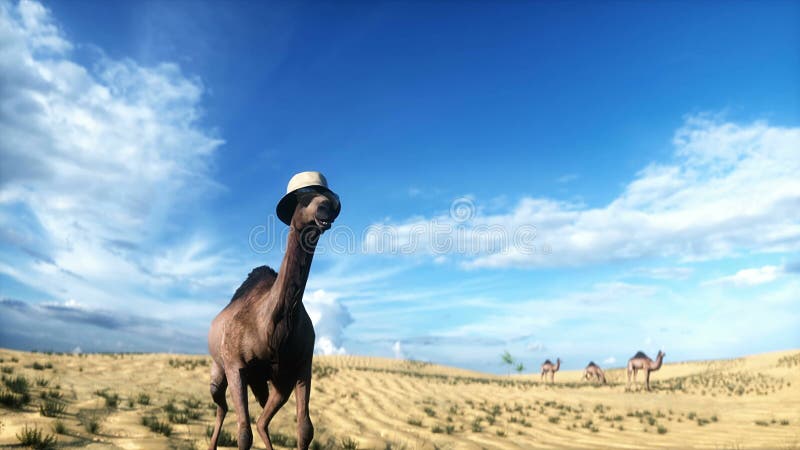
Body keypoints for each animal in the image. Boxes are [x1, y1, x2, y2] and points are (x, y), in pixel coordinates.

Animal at [207, 172, 341, 450]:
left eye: (329, 195)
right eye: (302, 198)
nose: (327, 208)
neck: (272, 324)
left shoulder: (301, 366)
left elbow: (305, 429)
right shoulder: (236, 365)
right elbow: (243, 434)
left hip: (277, 384)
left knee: (261, 421)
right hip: (220, 369)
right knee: (223, 405)